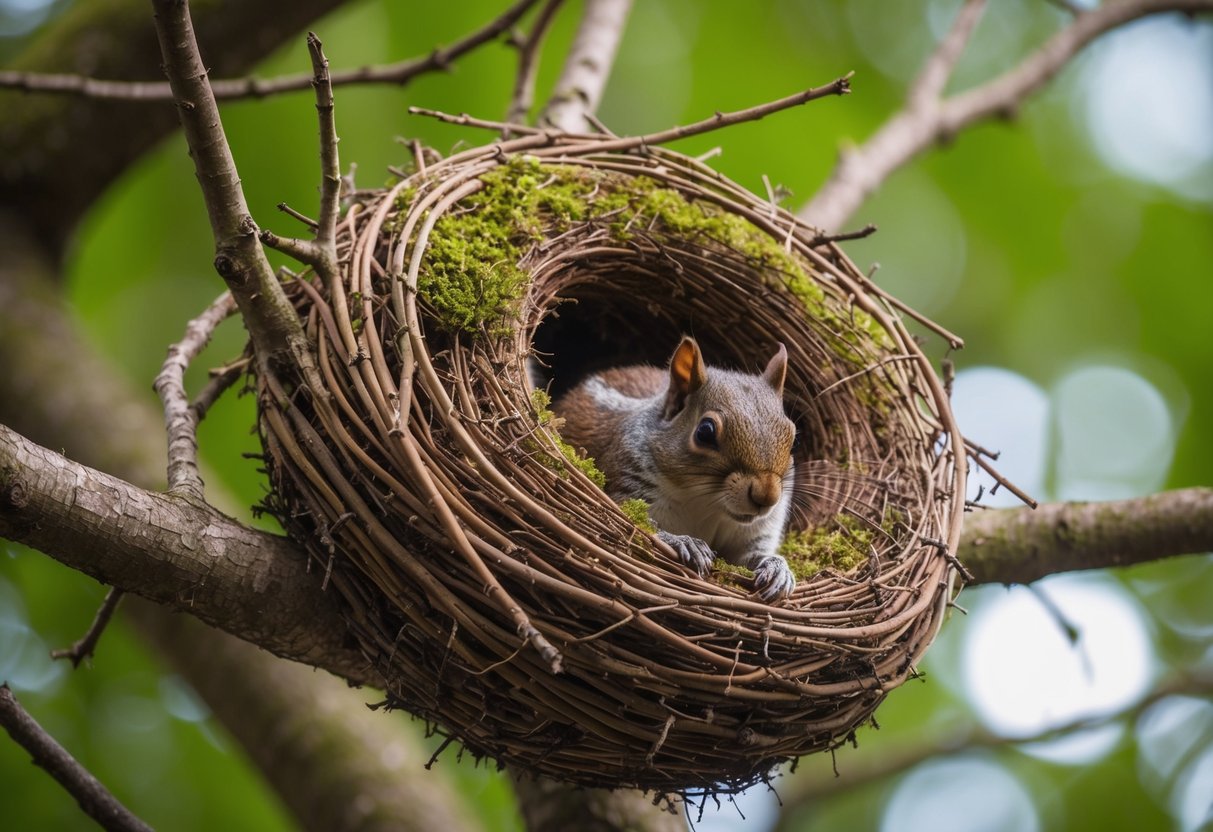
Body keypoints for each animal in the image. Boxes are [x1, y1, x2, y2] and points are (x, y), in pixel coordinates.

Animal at [551, 336, 798, 602]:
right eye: (705, 432)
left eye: (793, 435)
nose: (767, 496)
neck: (706, 504)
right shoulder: (630, 484)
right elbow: (641, 524)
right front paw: (685, 542)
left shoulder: (757, 532)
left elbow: (749, 558)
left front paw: (779, 569)